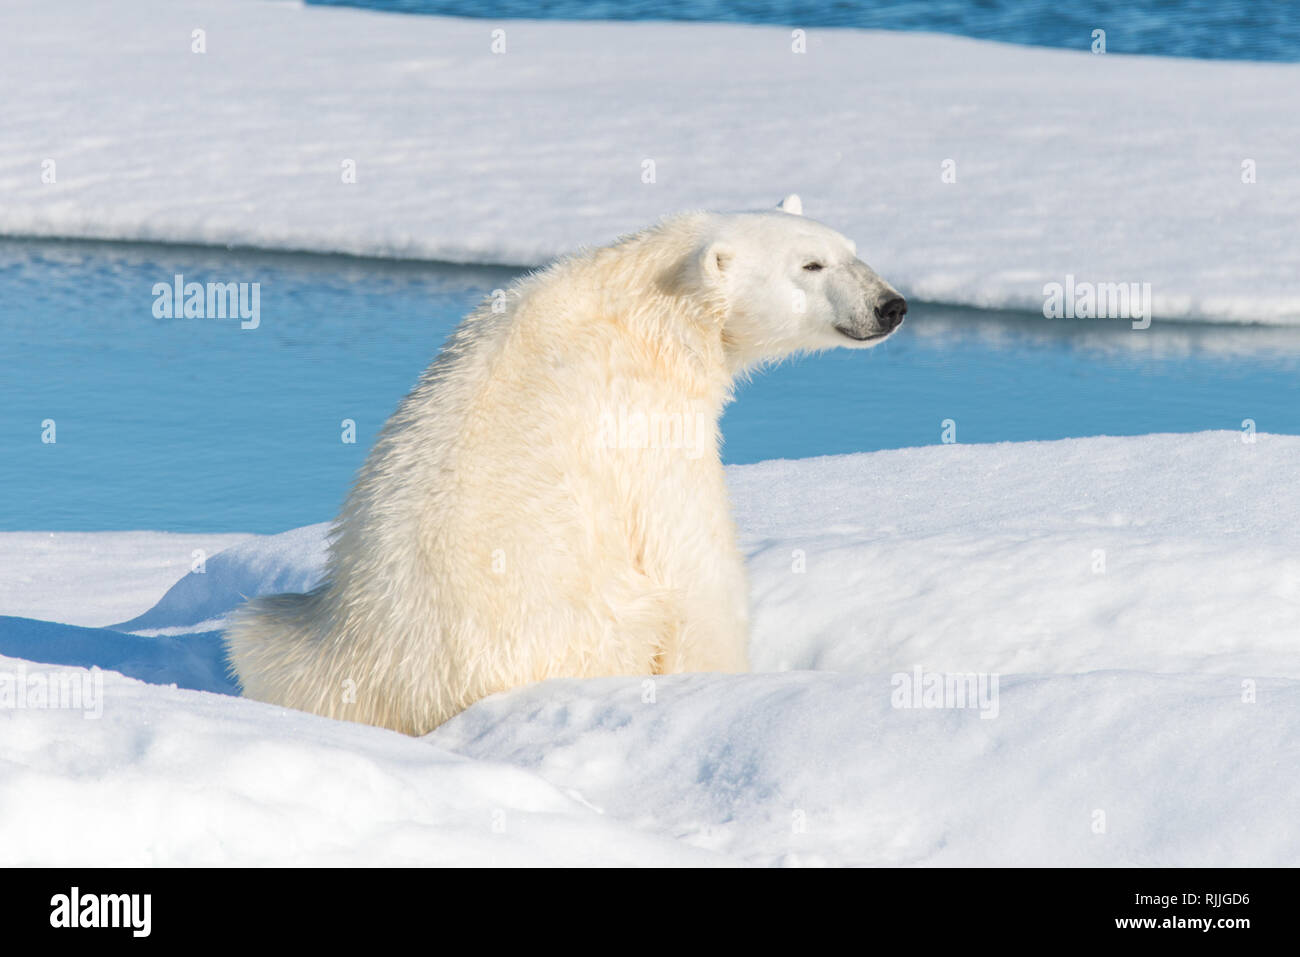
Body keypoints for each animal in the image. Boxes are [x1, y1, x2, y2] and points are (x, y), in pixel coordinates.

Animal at [225, 195, 906, 735]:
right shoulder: (645, 420)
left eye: (851, 250)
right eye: (810, 265)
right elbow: (690, 559)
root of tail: (415, 687)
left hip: (304, 648)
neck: (652, 308)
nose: (891, 305)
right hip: (599, 627)